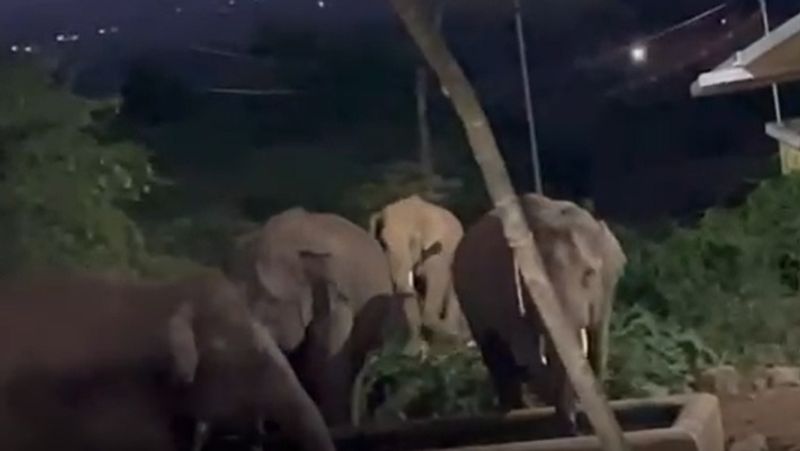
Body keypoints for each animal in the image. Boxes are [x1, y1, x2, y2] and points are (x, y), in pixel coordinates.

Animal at [452, 193, 627, 434]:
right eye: (530, 282)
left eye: (589, 274)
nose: (573, 427)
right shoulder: (506, 291)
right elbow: (526, 350)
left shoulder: (607, 289)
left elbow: (597, 343)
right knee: (494, 352)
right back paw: (516, 406)